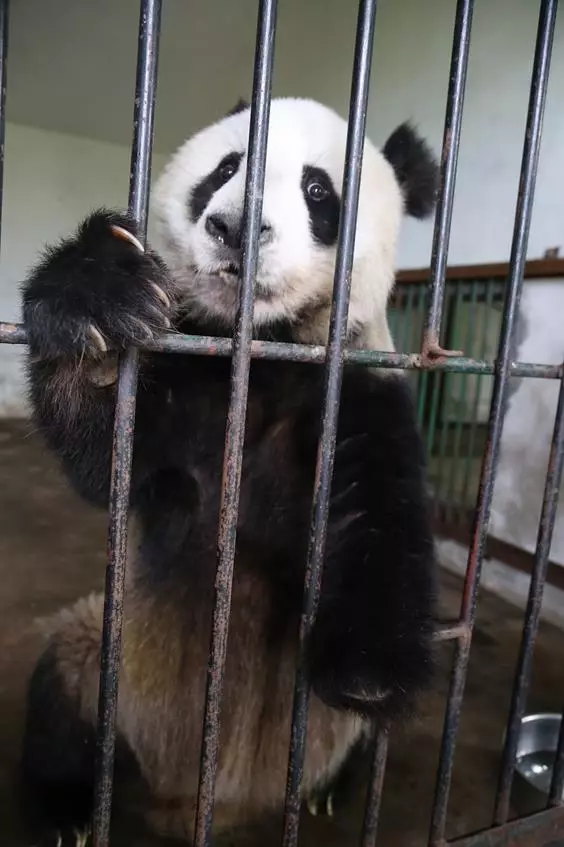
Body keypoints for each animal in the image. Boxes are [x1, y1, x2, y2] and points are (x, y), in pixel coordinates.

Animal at [18, 96, 440, 844]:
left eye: (318, 192)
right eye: (225, 167)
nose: (234, 227)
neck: (263, 348)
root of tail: (218, 803)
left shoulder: (359, 388)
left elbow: (377, 514)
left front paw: (366, 668)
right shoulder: (190, 377)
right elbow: (109, 459)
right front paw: (98, 304)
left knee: (353, 735)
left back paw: (331, 789)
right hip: (111, 668)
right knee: (65, 682)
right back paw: (66, 809)